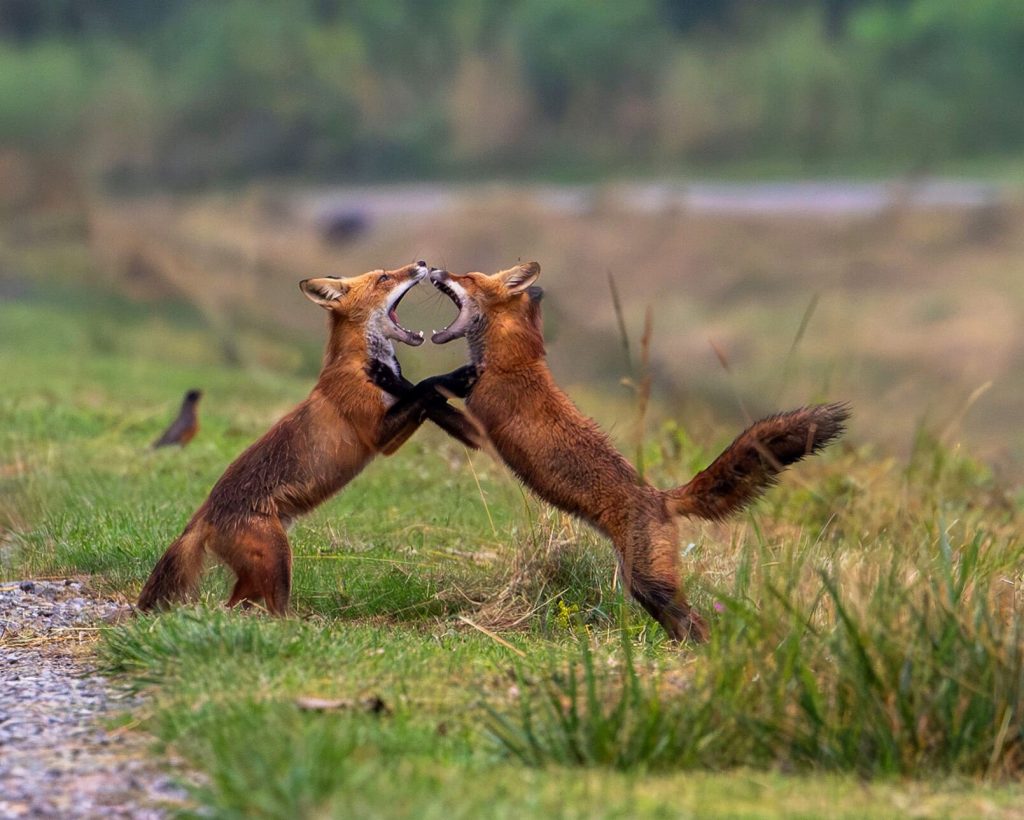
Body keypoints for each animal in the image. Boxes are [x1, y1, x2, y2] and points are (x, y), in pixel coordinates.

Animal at [137, 262, 480, 614]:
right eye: (384, 277)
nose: (422, 264)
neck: (358, 363)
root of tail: (203, 514)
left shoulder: (391, 438)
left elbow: (424, 396)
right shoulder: (376, 434)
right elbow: (423, 388)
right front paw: (451, 378)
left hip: (257, 575)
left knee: (235, 605)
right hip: (278, 559)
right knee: (274, 611)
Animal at [421, 261, 849, 642]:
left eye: (466, 277)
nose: (434, 268)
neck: (511, 361)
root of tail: (661, 498)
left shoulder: (482, 430)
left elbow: (431, 398)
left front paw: (412, 386)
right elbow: (434, 394)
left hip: (650, 580)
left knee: (698, 625)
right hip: (643, 587)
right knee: (682, 627)